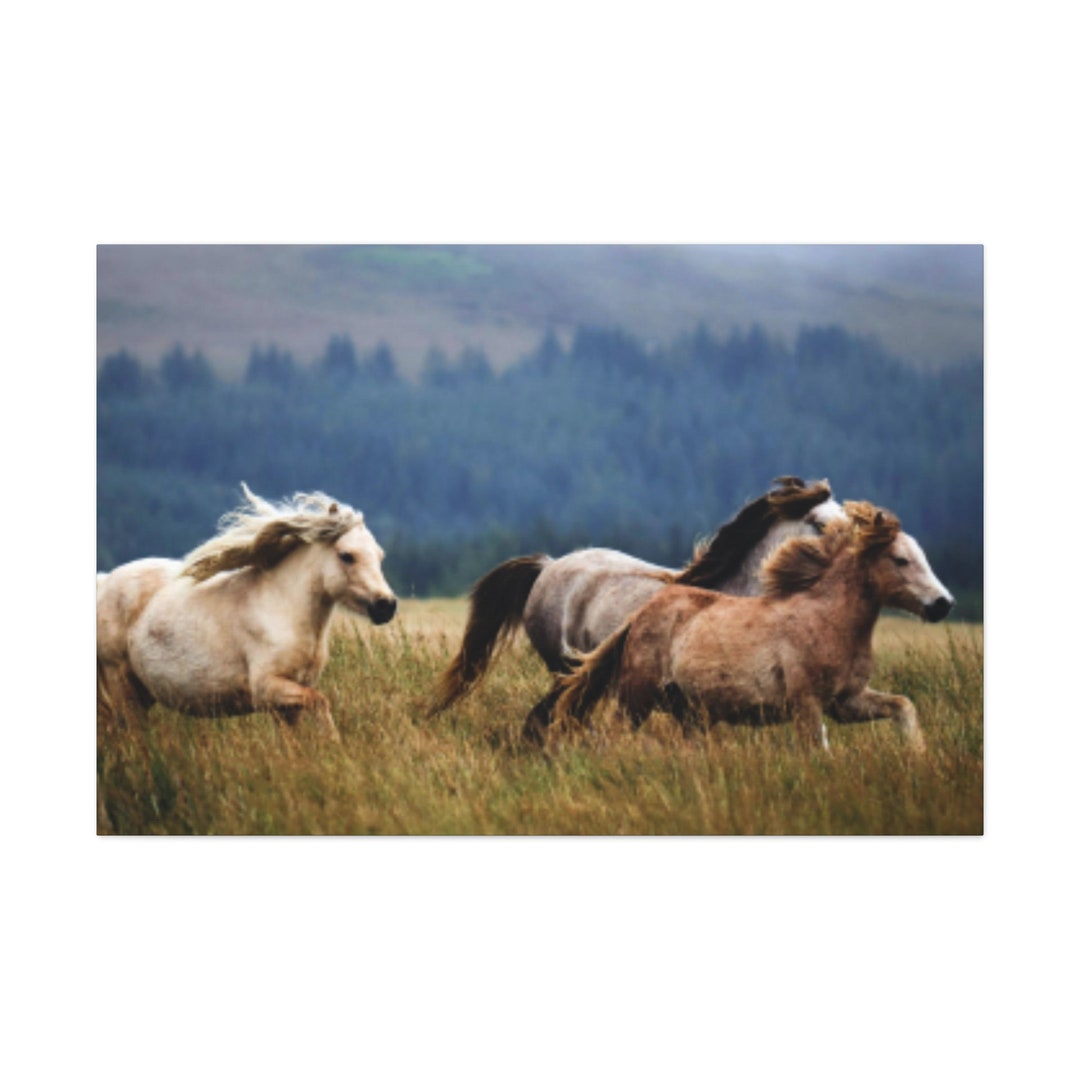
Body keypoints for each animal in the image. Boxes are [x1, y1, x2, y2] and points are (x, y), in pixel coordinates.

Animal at [96, 485, 398, 739]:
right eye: (346, 555)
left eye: (380, 556)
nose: (386, 606)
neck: (282, 610)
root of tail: (105, 581)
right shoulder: (267, 688)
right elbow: (320, 701)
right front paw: (334, 743)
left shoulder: (288, 705)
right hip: (121, 684)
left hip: (141, 693)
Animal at [529, 501, 954, 752]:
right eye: (900, 560)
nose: (942, 604)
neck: (827, 619)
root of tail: (641, 615)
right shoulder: (807, 703)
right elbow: (818, 750)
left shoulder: (846, 702)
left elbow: (903, 706)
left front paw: (918, 758)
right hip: (636, 697)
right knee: (611, 735)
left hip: (688, 712)